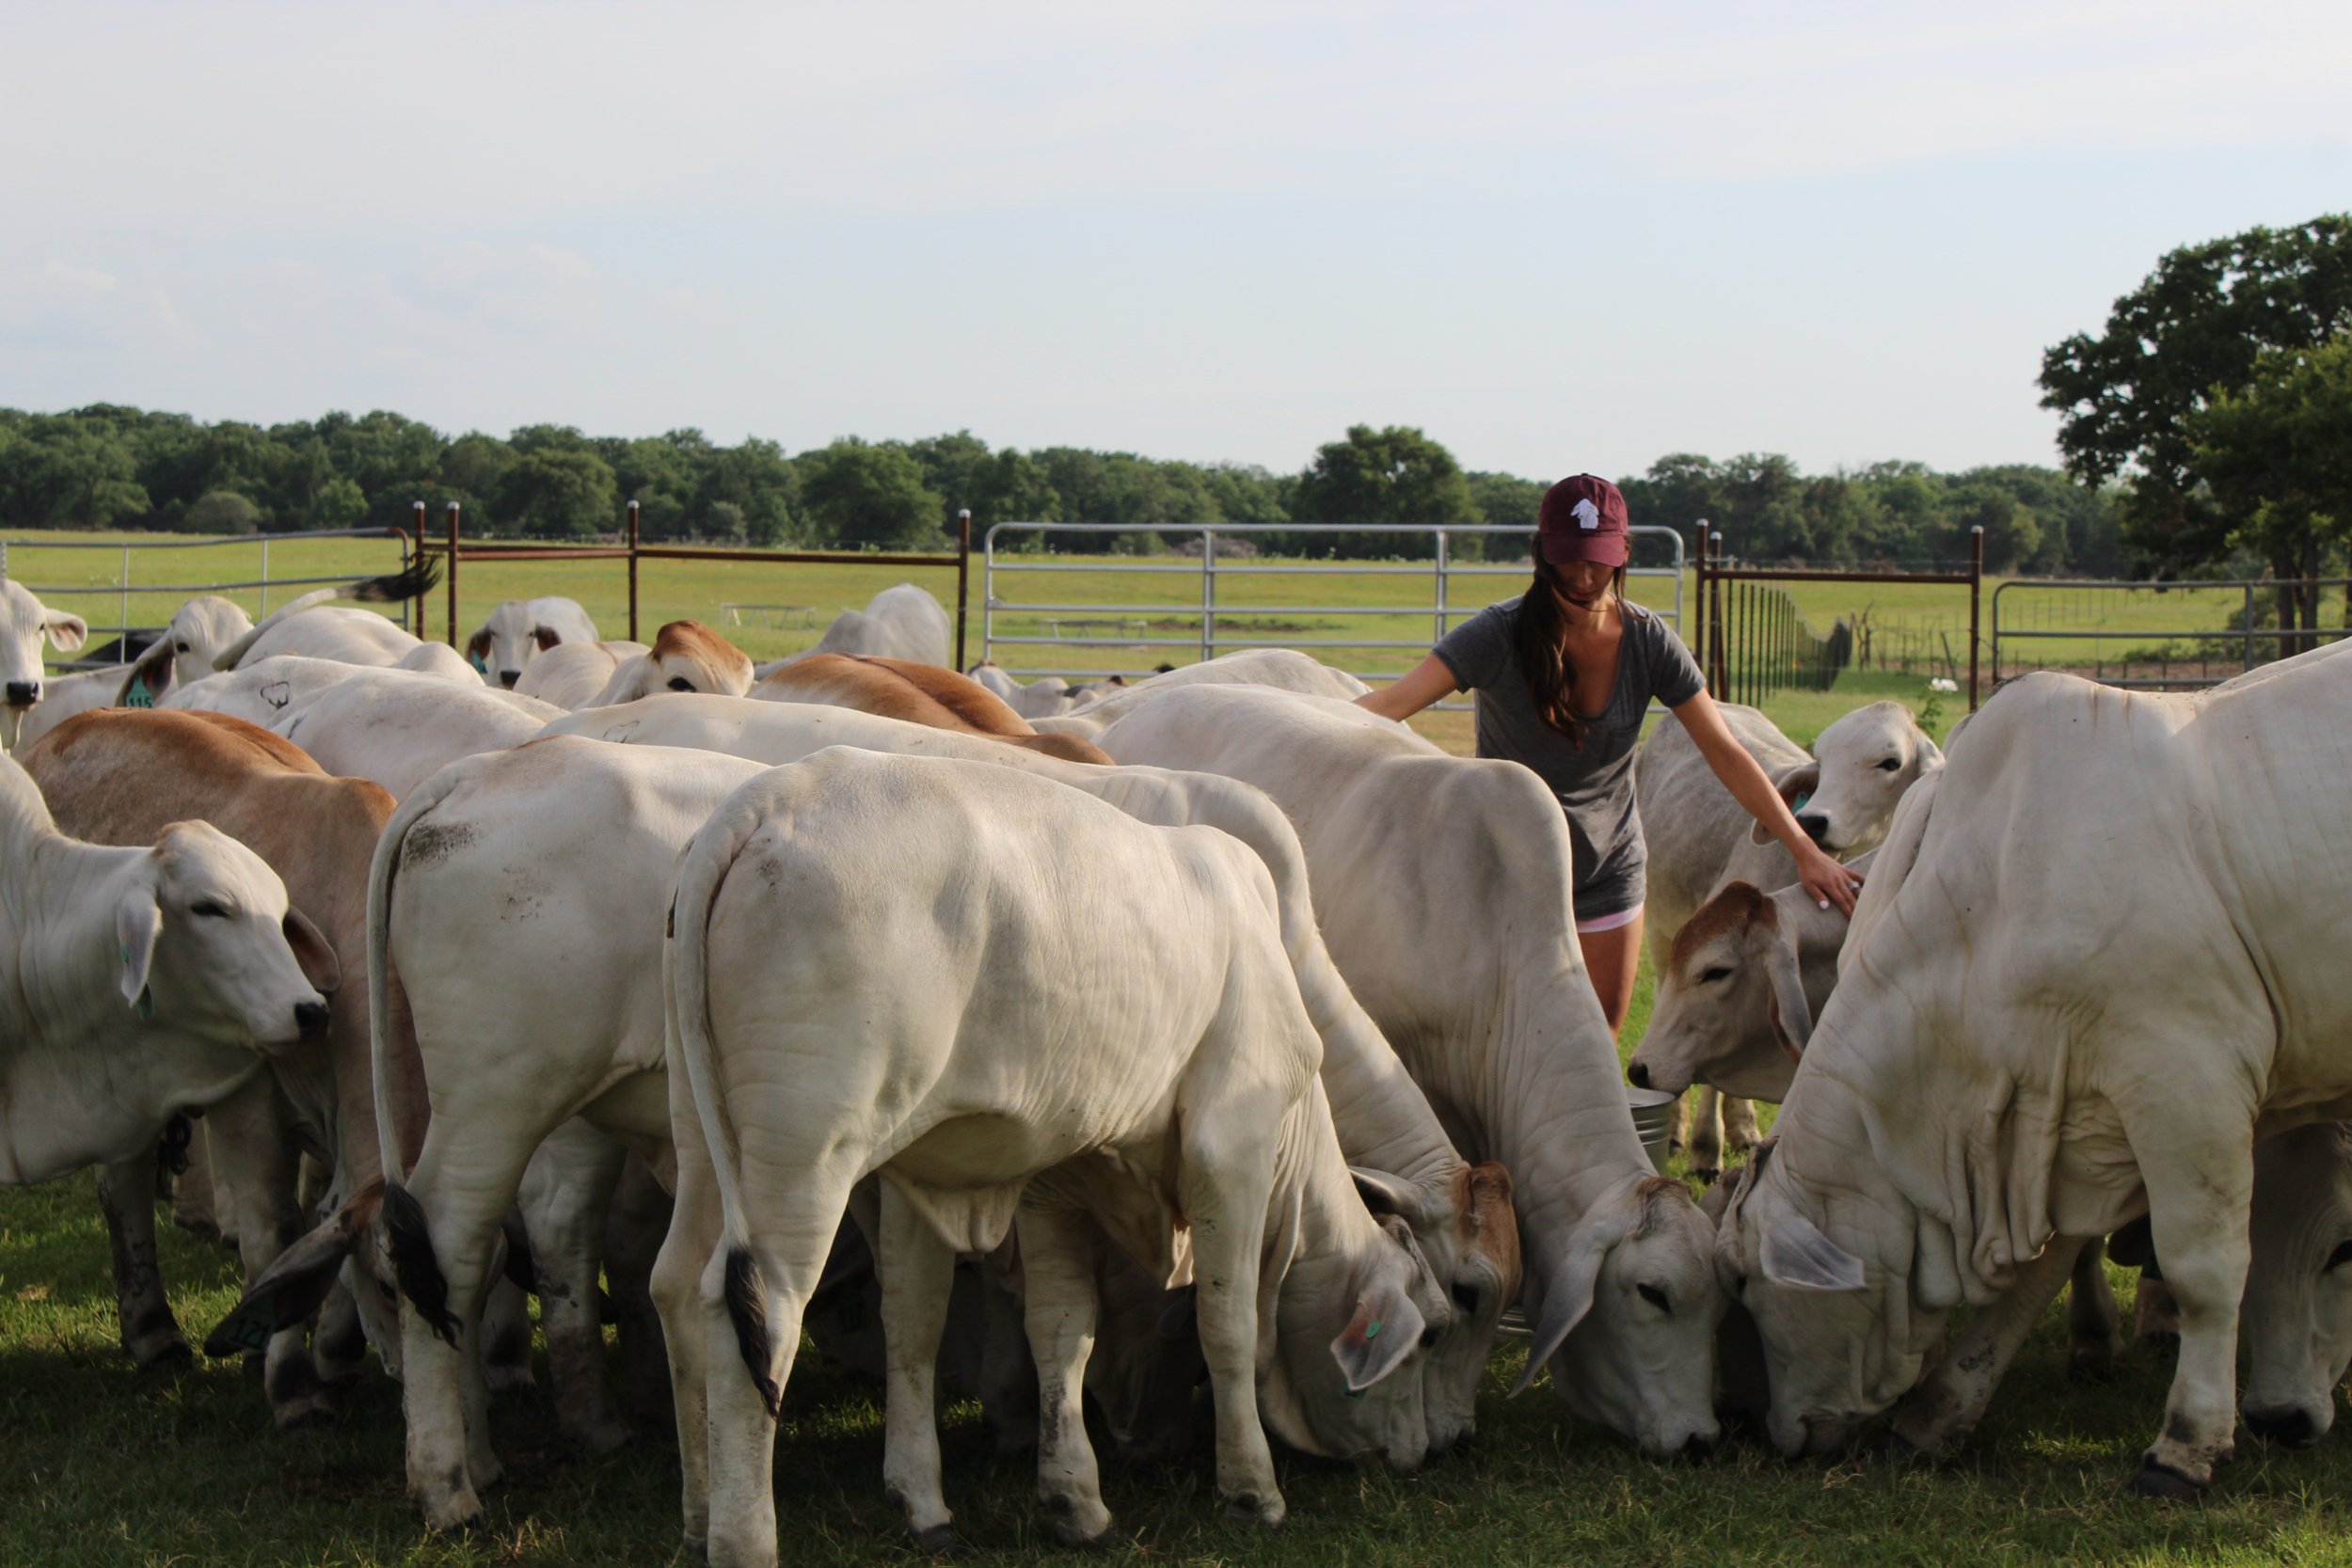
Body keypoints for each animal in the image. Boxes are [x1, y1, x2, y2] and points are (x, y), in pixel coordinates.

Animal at [657, 750, 1450, 1567]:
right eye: (1433, 1334)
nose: (1431, 1449)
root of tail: (770, 796)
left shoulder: (1040, 1179)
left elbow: (1005, 1327)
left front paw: (1037, 1500)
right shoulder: (1232, 1151)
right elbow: (1228, 1324)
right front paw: (1253, 1491)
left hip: (708, 1137)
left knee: (681, 1287)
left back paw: (699, 1515)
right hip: (805, 1152)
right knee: (758, 1318)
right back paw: (743, 1539)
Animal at [1719, 647, 2352, 1495]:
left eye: (1744, 1282)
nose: (1766, 1429)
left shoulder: (2187, 1084)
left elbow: (2205, 1271)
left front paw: (2185, 1443)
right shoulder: (2070, 1125)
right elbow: (2034, 1276)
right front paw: (1938, 1413)